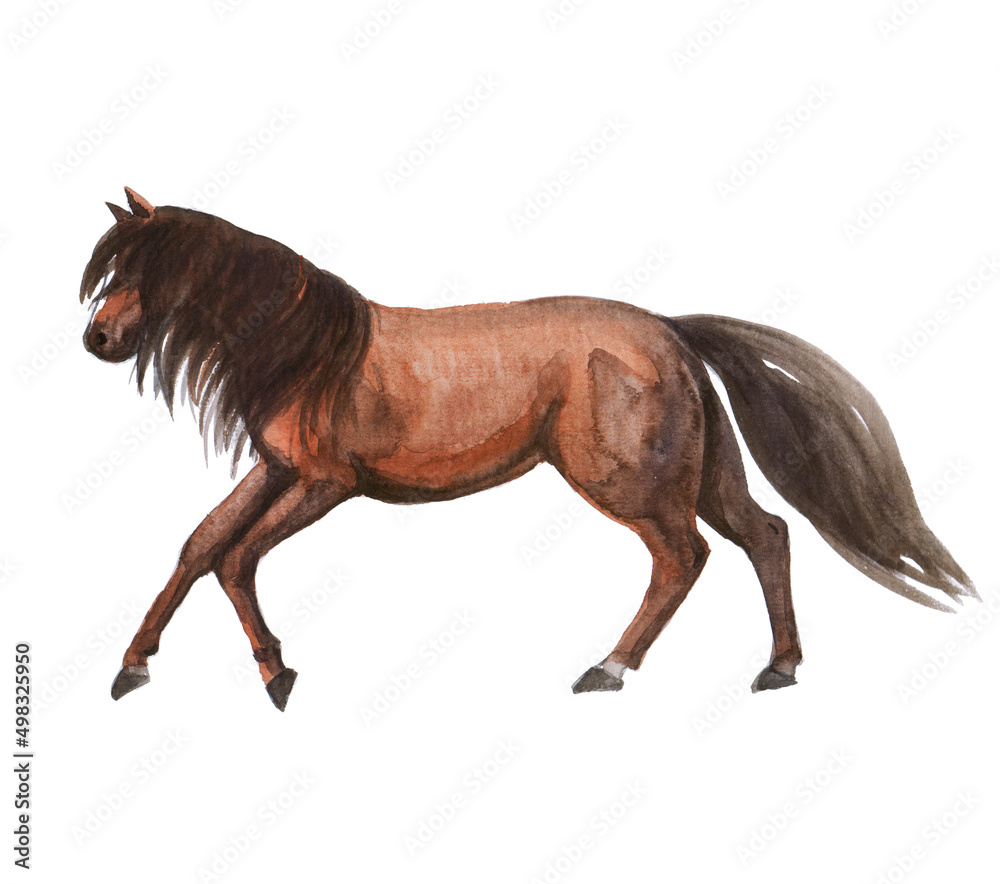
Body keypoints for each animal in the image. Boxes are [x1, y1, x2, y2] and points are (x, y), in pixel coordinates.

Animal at [81, 188, 976, 711]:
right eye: (109, 267)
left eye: (146, 265)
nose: (99, 340)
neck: (307, 348)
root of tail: (671, 334)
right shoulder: (278, 472)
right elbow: (201, 546)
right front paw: (132, 668)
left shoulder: (323, 483)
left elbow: (237, 558)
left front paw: (277, 676)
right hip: (700, 475)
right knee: (766, 536)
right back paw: (779, 669)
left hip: (631, 484)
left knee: (683, 558)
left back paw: (608, 671)